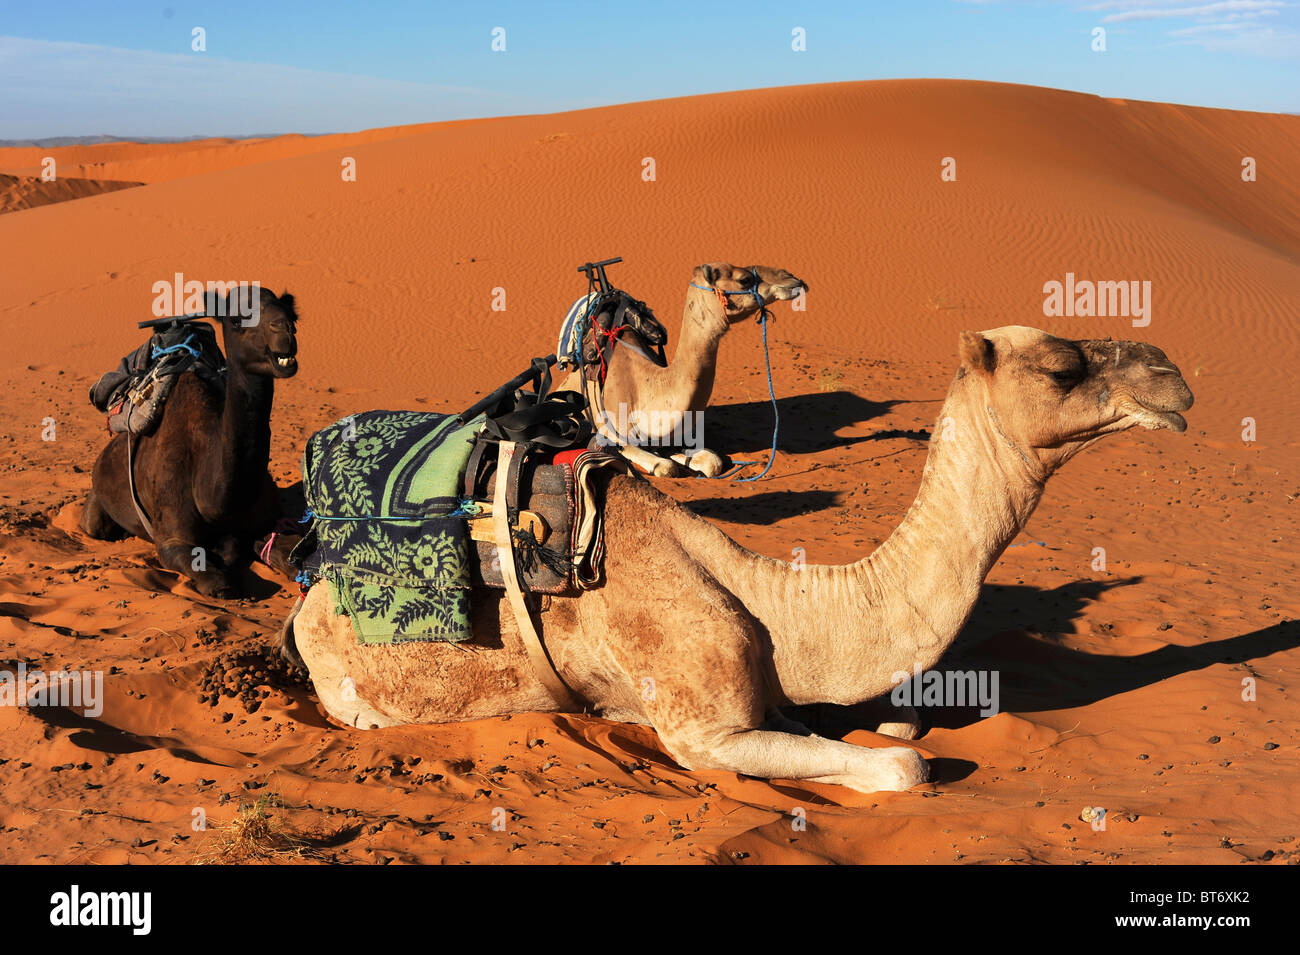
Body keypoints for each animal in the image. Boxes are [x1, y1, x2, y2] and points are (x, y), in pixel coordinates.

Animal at [81, 288, 300, 597]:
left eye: (292, 315)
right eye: (237, 318)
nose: (285, 329)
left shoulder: (268, 521)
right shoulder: (172, 539)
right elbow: (219, 583)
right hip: (95, 510)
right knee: (95, 525)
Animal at [283, 326, 1192, 794]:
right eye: (1064, 364)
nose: (1174, 375)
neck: (774, 601)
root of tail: (304, 599)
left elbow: (888, 724)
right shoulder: (704, 731)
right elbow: (904, 763)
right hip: (360, 693)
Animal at [562, 263, 805, 477]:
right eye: (744, 279)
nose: (792, 277)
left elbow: (713, 462)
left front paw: (683, 458)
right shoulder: (612, 432)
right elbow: (664, 466)